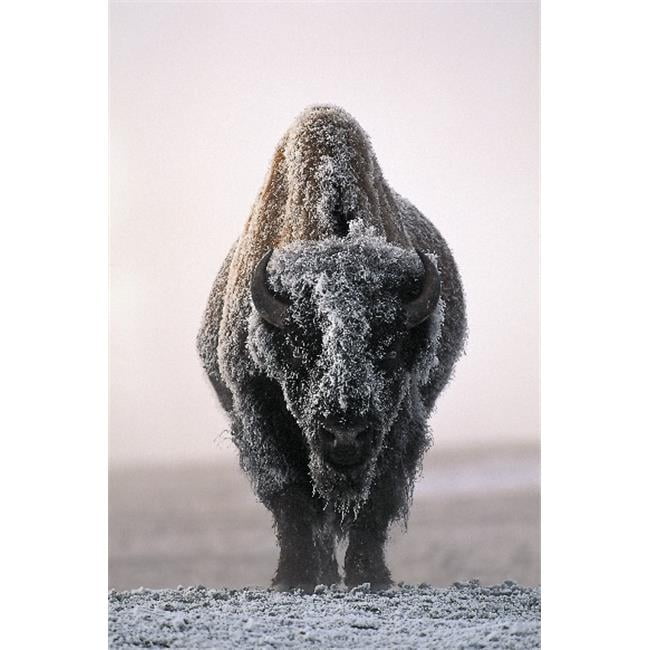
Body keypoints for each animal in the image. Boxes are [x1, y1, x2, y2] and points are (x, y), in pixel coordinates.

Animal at [197, 105, 466, 591]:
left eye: (388, 343)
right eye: (301, 344)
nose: (344, 436)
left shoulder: (400, 419)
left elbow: (377, 498)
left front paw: (370, 577)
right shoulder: (257, 409)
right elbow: (290, 496)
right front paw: (293, 578)